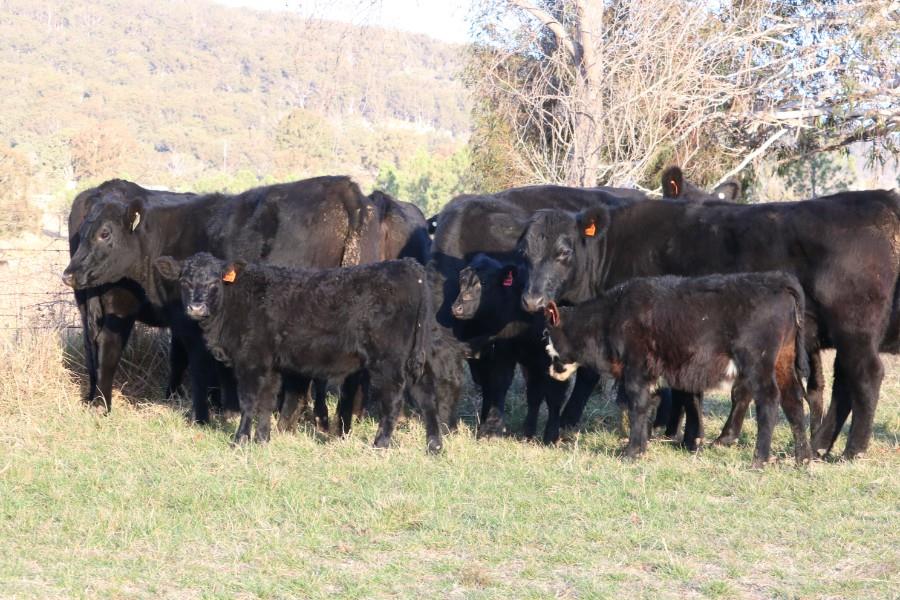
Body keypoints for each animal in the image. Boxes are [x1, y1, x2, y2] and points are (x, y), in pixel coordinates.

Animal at [62, 176, 382, 426]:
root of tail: (344, 189)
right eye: (84, 233)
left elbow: (199, 366)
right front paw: (226, 410)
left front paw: (204, 416)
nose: (69, 274)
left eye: (105, 233)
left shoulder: (190, 320)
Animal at [153, 253, 441, 452]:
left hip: (388, 360)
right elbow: (267, 402)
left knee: (393, 399)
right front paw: (262, 440)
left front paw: (240, 440)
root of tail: (408, 266)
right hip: (415, 358)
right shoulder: (271, 365)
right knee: (427, 397)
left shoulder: (251, 361)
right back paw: (434, 446)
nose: (196, 307)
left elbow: (249, 401)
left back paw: (380, 444)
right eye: (185, 281)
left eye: (214, 282)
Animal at [451, 254, 568, 443]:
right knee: (534, 394)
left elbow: (553, 395)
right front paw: (490, 427)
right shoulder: (500, 352)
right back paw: (528, 432)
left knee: (553, 395)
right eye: (461, 281)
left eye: (484, 283)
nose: (457, 308)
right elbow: (497, 384)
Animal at [542, 272, 811, 466]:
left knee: (769, 401)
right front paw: (642, 447)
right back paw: (803, 458)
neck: (612, 315)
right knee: (793, 402)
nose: (551, 370)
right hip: (783, 363)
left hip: (758, 364)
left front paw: (631, 452)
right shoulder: (652, 376)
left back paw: (759, 459)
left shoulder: (636, 372)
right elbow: (649, 408)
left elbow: (638, 406)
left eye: (547, 334)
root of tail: (777, 280)